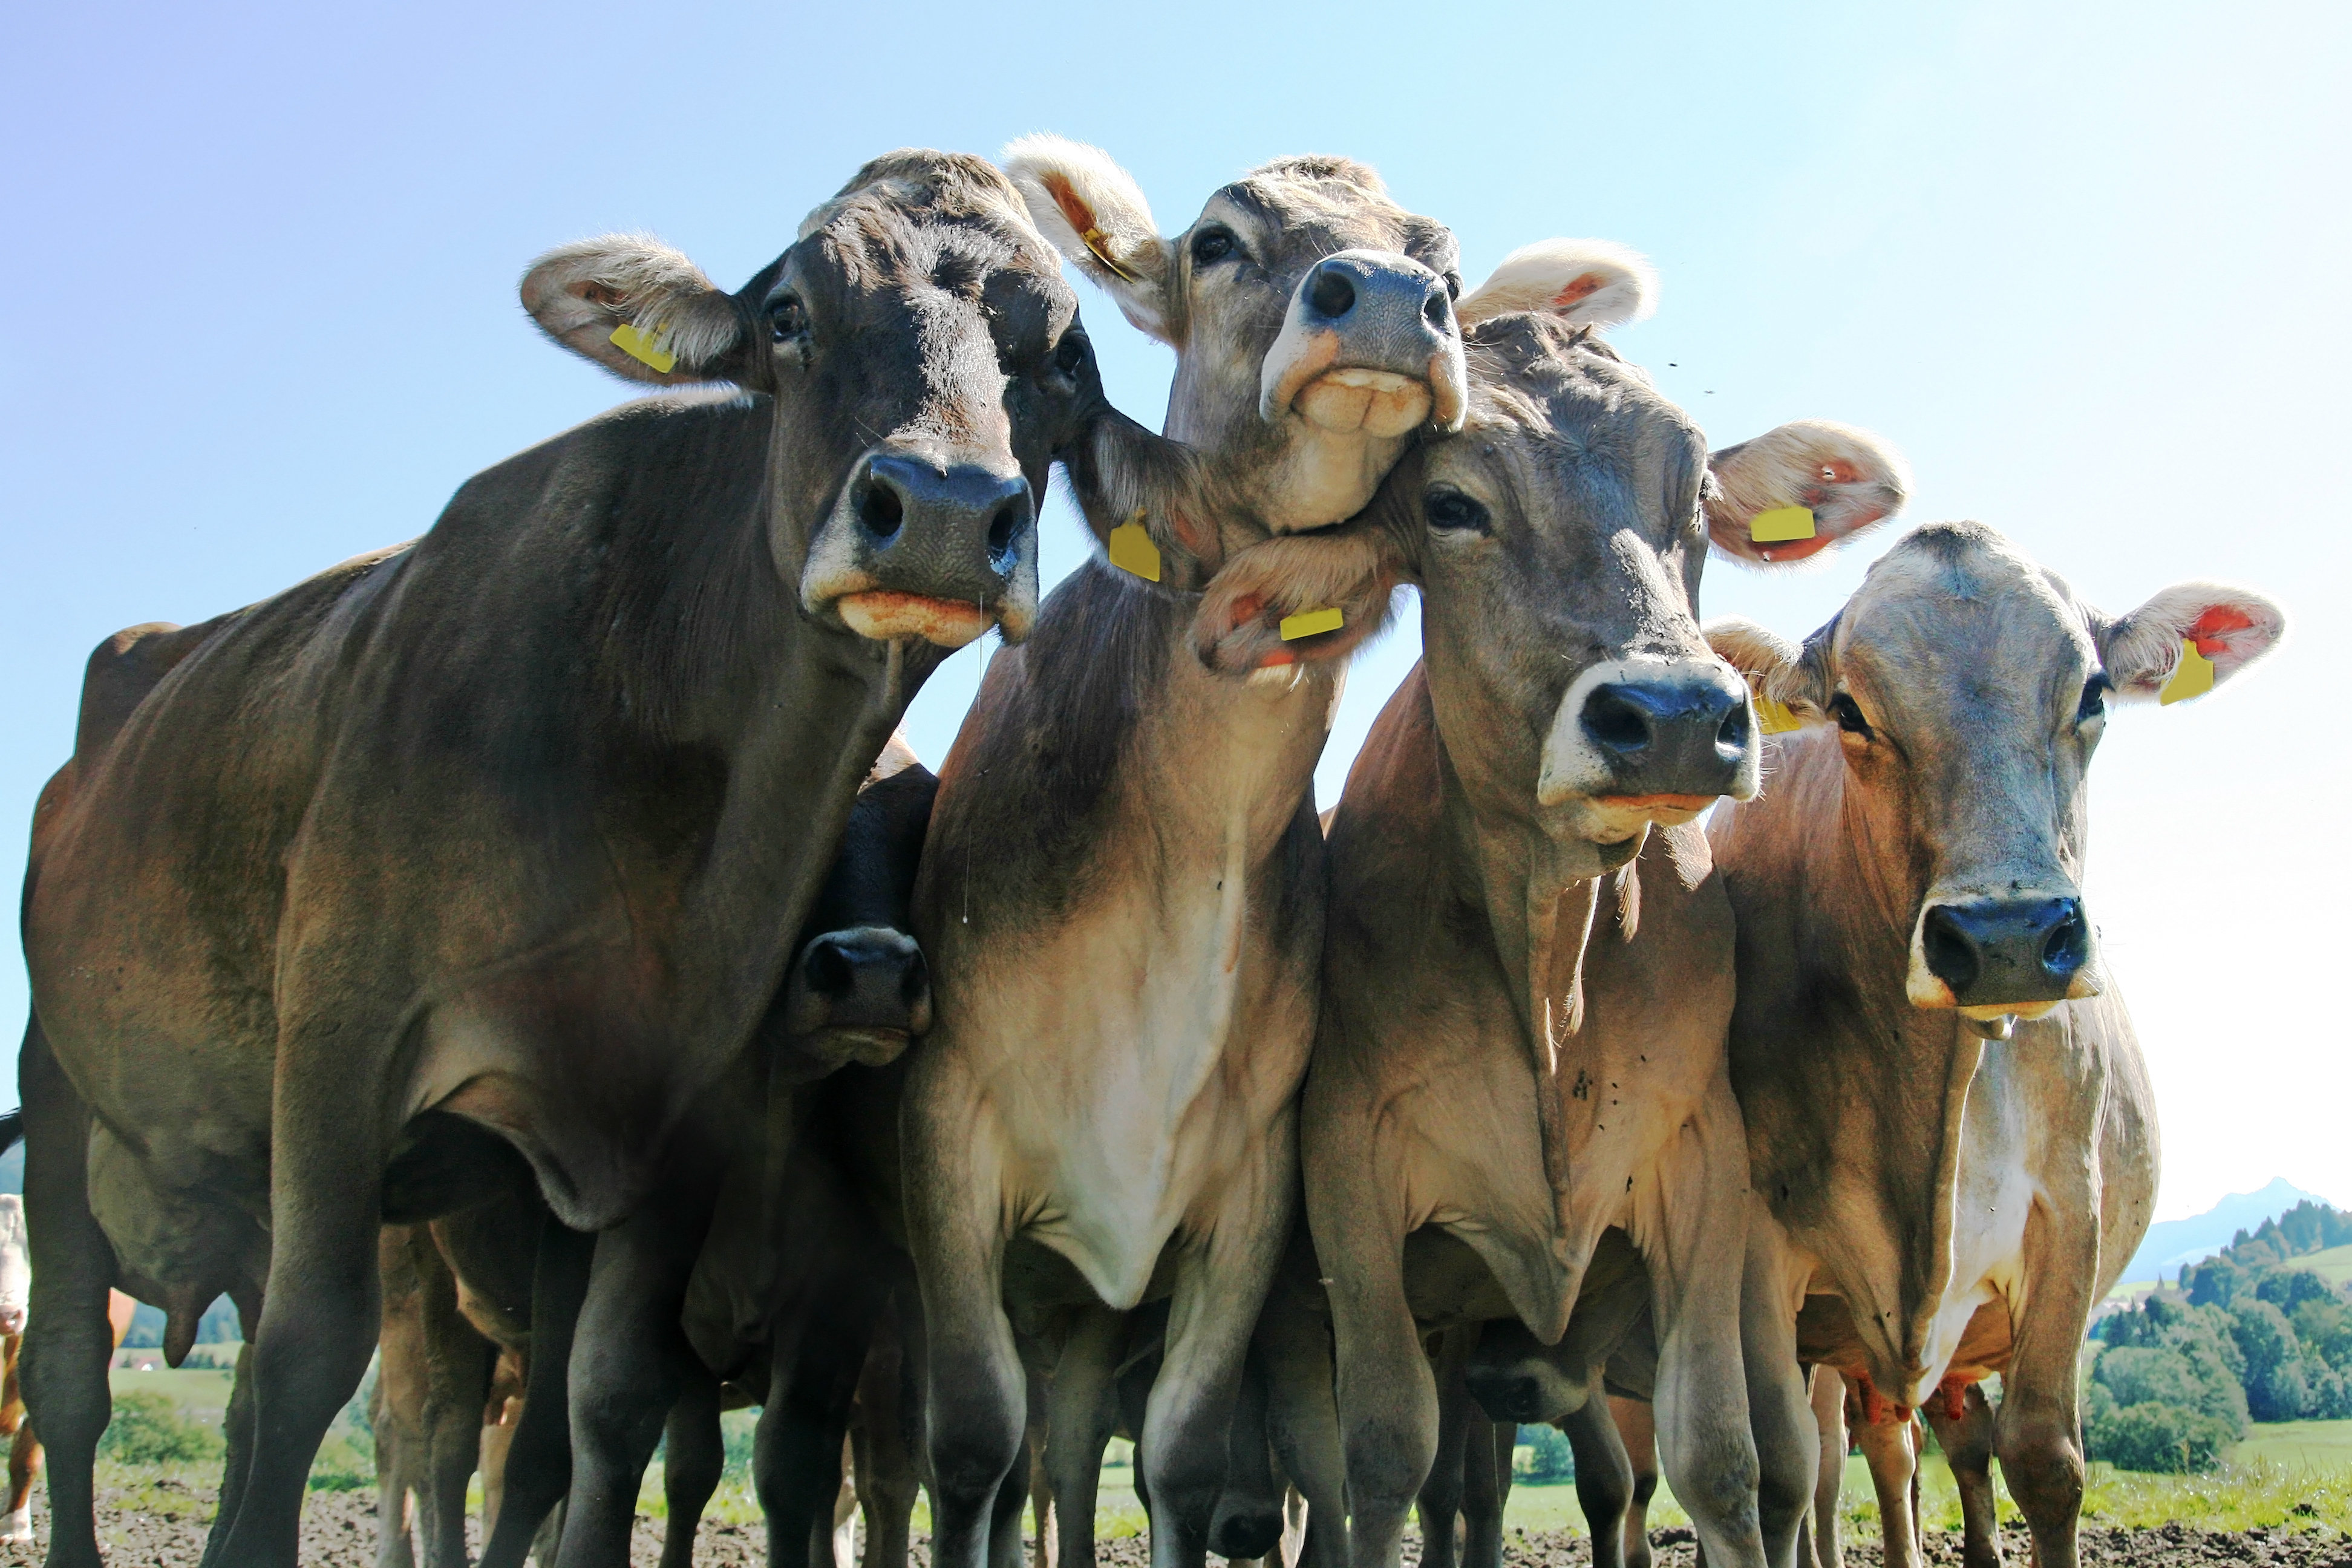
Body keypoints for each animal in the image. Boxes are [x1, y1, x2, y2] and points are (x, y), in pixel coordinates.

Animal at [19, 147, 1200, 1568]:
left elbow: (597, 1412)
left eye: (1064, 356)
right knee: (77, 1377)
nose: (940, 512)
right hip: (61, 1093)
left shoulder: (646, 1141)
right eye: (790, 312)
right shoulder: (340, 1039)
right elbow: (310, 1359)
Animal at [897, 136, 1471, 1568]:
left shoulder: (1252, 1182)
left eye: (1438, 259)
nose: (1390, 297)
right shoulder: (945, 1127)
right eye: (1217, 241)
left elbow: (1181, 1456)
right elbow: (971, 1441)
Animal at [1300, 252, 1912, 1568]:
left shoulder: (1701, 1163)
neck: (1552, 968)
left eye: (1696, 494)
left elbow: (1722, 1462)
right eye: (1451, 504)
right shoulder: (1352, 1186)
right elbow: (1381, 1459)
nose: (1675, 716)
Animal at [1699, 522, 2284, 1568]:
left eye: (2093, 693)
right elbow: (1779, 1472)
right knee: (1856, 1456)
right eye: (1849, 710)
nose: (2009, 934)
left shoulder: (2068, 1210)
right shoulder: (1762, 1248)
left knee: (1951, 1447)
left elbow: (2044, 1460)